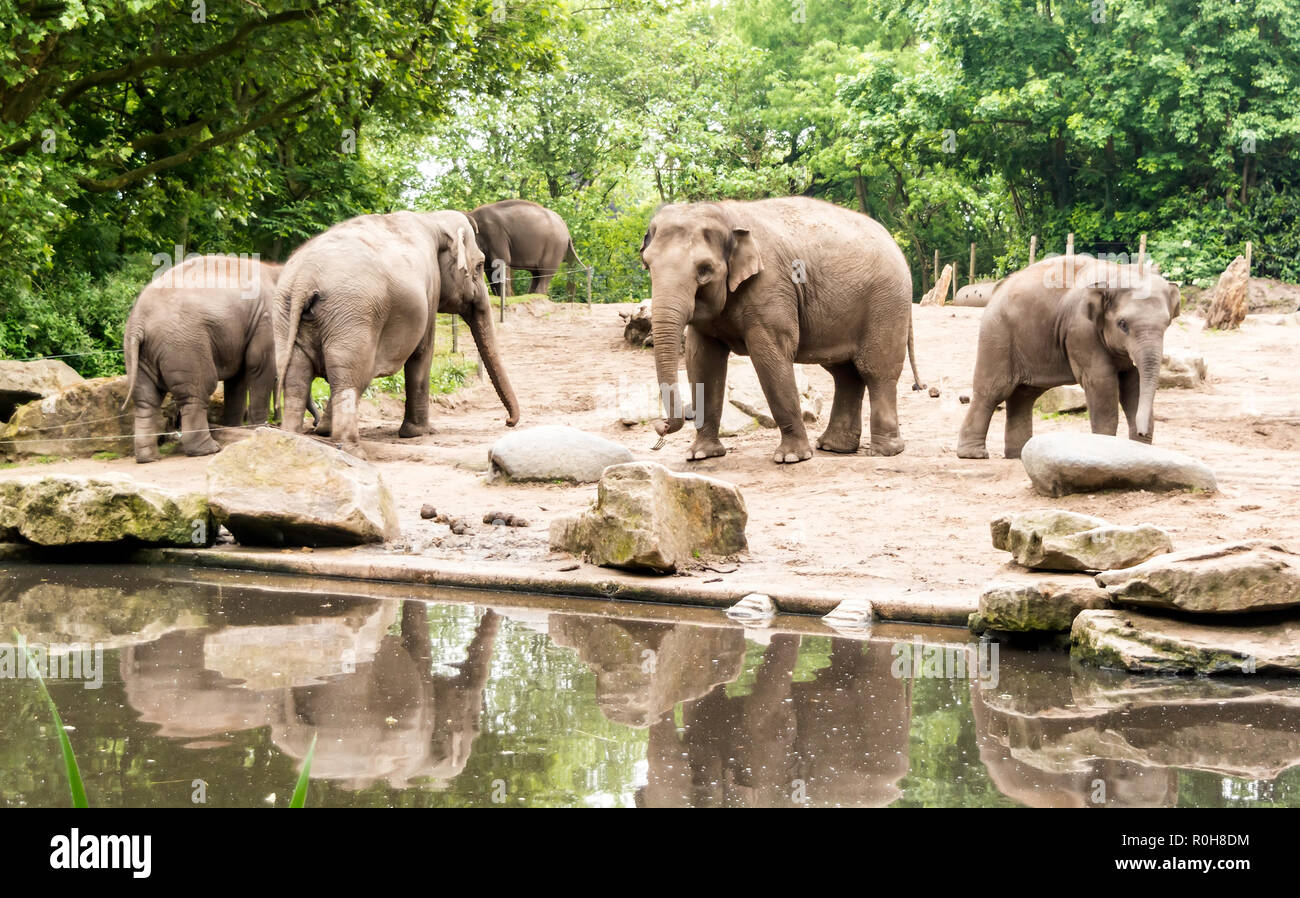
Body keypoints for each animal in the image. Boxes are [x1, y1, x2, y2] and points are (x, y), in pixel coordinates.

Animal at [124, 254, 285, 463]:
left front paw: (235, 429)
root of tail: (138, 322)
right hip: (185, 345)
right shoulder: (266, 319)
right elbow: (259, 366)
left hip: (138, 353)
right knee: (198, 390)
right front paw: (258, 430)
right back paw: (208, 449)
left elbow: (238, 379)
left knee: (146, 399)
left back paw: (149, 458)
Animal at [274, 210, 519, 456]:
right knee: (350, 377)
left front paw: (323, 431)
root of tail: (303, 280)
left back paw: (293, 437)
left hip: (288, 316)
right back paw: (353, 449)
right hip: (352, 317)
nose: (508, 422)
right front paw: (419, 432)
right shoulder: (430, 291)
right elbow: (422, 353)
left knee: (296, 378)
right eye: (479, 266)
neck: (433, 220)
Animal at [640, 197, 923, 464]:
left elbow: (770, 356)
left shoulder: (771, 285)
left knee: (876, 371)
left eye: (705, 270)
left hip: (887, 303)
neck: (726, 214)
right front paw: (701, 454)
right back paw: (834, 447)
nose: (661, 426)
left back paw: (884, 451)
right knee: (845, 374)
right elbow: (702, 362)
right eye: (647, 265)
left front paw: (791, 458)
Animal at [956, 254, 1181, 459]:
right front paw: (1106, 448)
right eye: (1123, 324)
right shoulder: (1080, 330)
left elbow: (1133, 382)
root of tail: (996, 290)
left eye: (1167, 323)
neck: (1116, 273)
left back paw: (1018, 455)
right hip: (997, 336)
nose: (1142, 433)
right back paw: (974, 455)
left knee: (1024, 395)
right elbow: (1102, 381)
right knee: (993, 391)